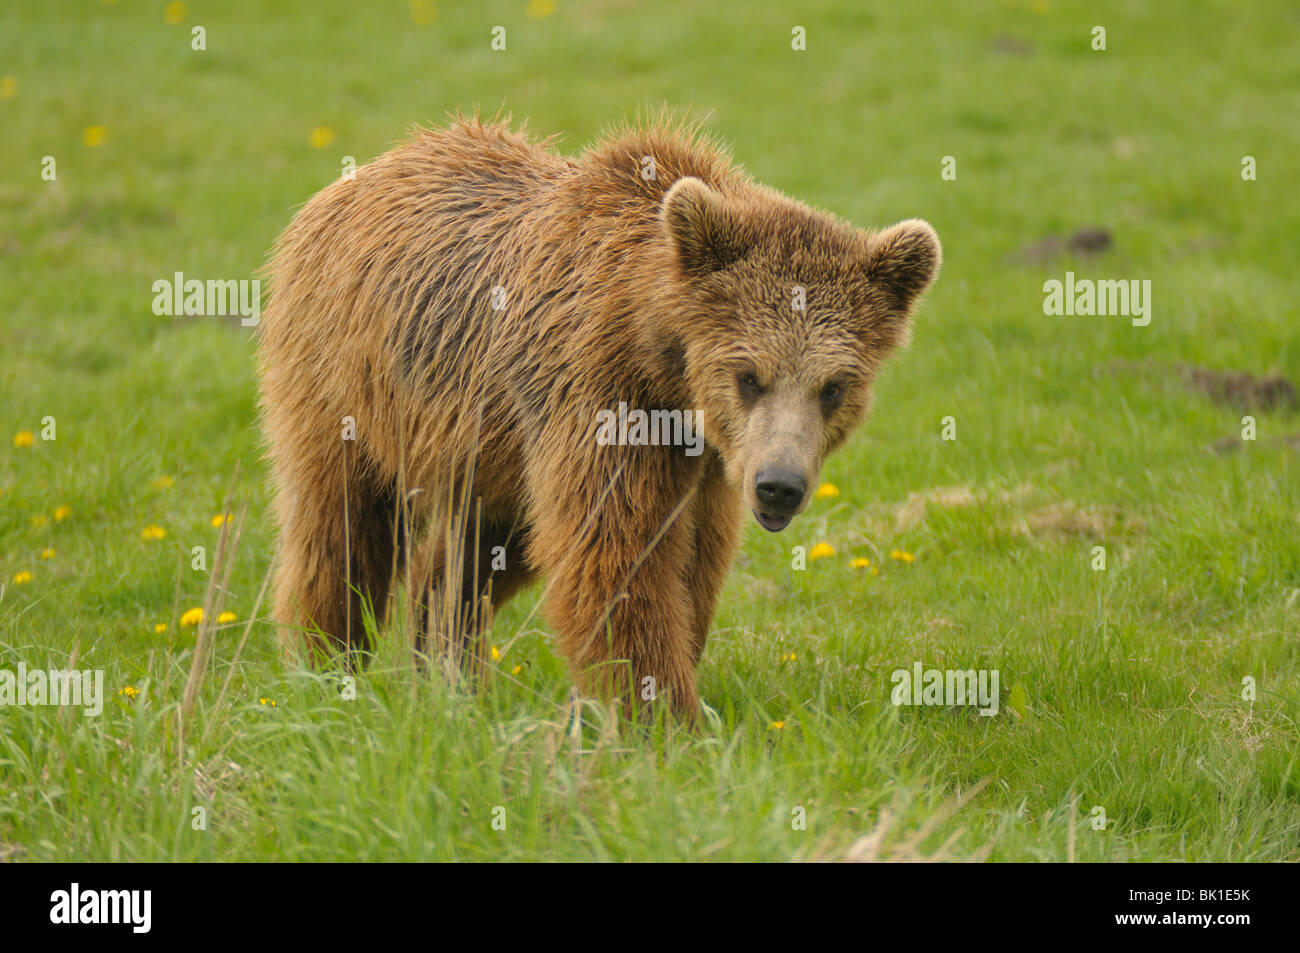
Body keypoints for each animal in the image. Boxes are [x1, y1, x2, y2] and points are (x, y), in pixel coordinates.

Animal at [258, 114, 940, 717]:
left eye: (834, 387)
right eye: (749, 375)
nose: (780, 486)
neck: (661, 357)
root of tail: (364, 174)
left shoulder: (706, 462)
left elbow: (692, 565)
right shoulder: (601, 397)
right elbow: (617, 558)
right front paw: (663, 718)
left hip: (493, 445)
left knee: (481, 551)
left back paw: (445, 671)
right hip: (348, 382)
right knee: (340, 525)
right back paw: (324, 667)